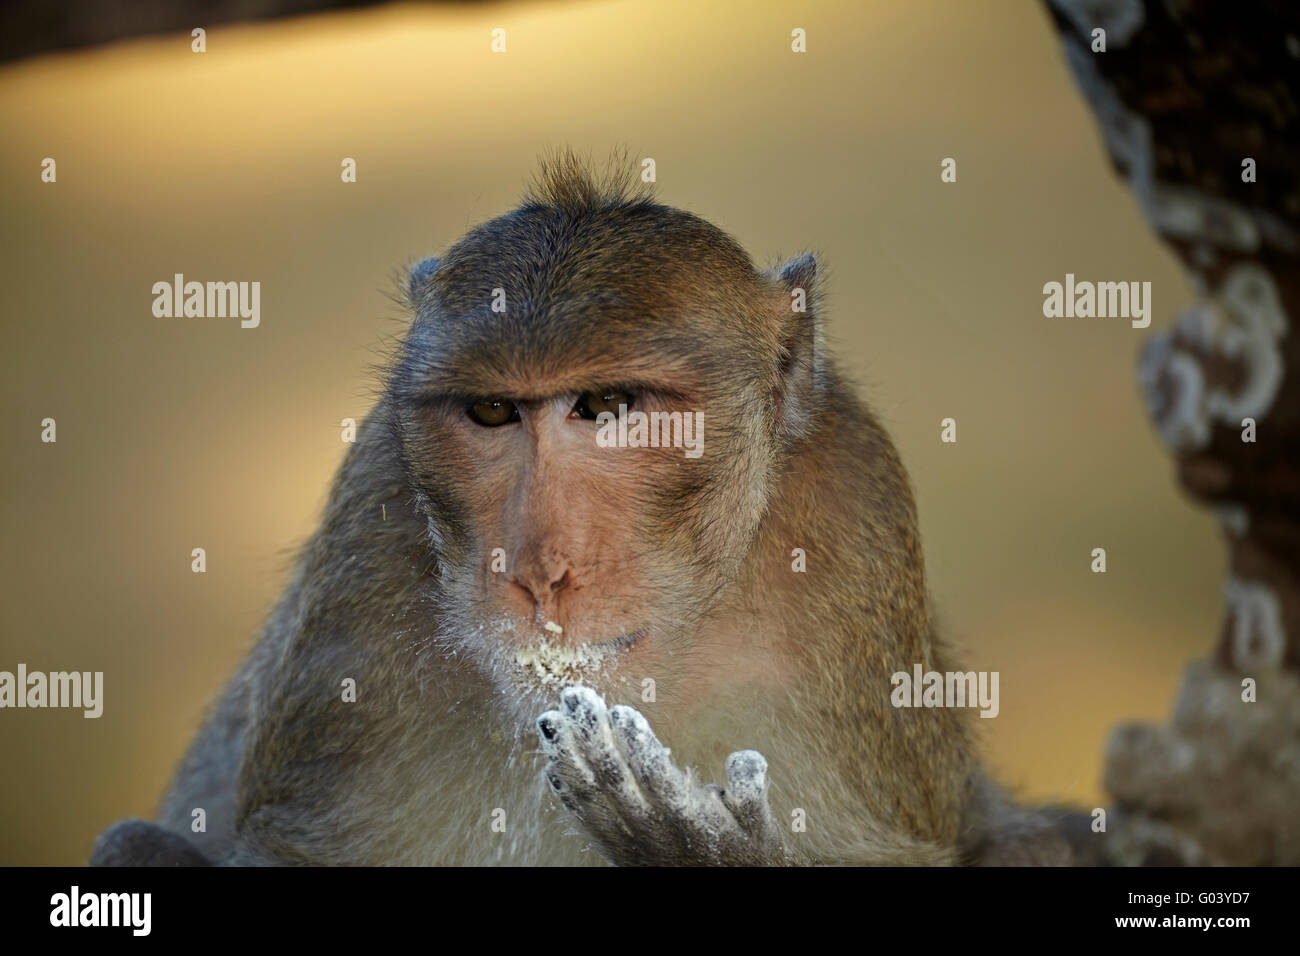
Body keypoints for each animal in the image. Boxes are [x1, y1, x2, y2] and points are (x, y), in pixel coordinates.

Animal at [91, 151, 1071, 867]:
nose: (538, 571)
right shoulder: (366, 527)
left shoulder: (858, 514)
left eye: (605, 407)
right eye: (493, 411)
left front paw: (696, 852)